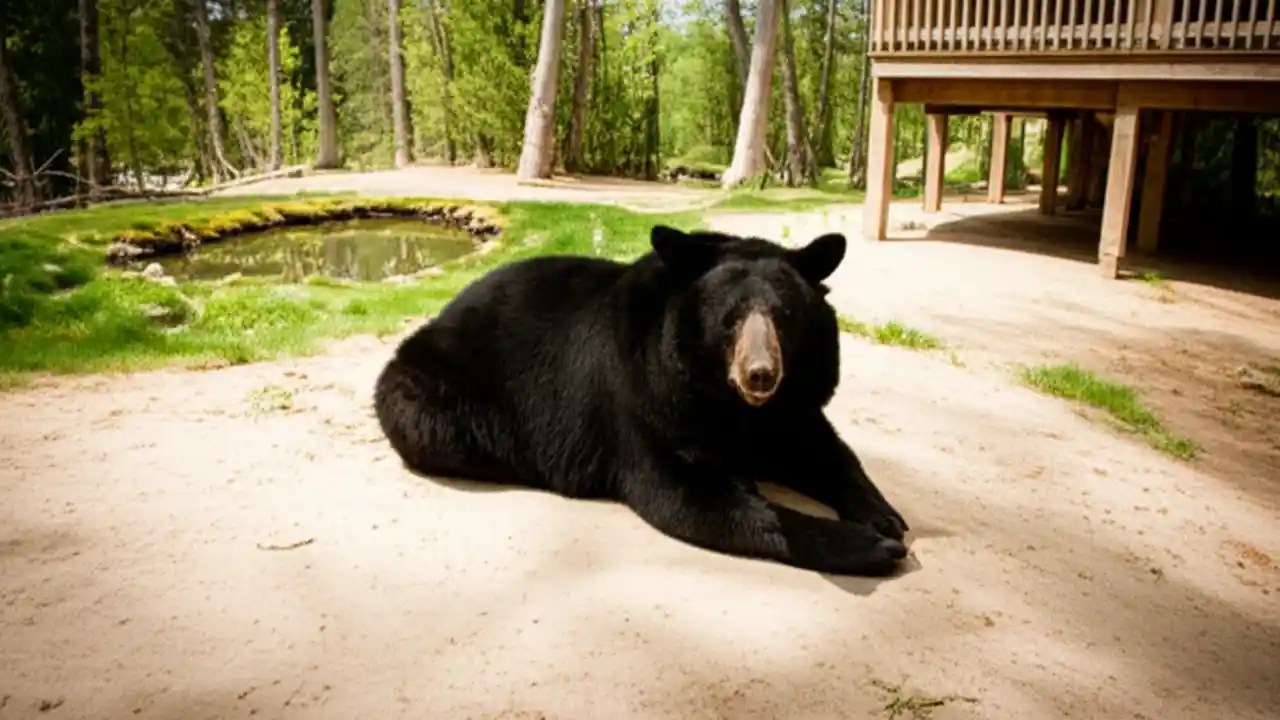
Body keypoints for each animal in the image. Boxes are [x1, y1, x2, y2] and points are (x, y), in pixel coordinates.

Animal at [373, 224, 910, 576]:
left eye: (784, 316)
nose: (760, 374)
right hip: (433, 391)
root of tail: (440, 315)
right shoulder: (647, 399)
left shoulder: (795, 399)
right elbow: (689, 493)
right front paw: (871, 545)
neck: (731, 404)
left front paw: (884, 514)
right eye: (731, 318)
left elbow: (821, 447)